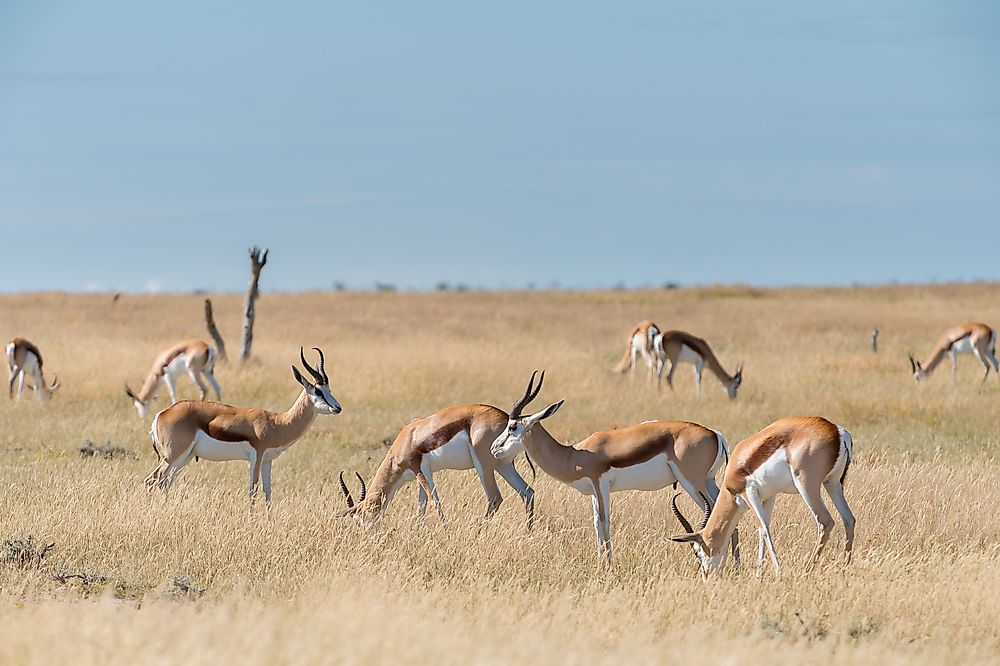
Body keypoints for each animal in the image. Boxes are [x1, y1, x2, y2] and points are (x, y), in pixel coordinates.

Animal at [144, 347, 341, 508]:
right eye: (318, 391)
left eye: (329, 389)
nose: (337, 408)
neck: (276, 423)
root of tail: (162, 413)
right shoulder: (256, 456)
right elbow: (253, 490)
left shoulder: (267, 460)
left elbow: (268, 492)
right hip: (173, 456)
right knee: (152, 480)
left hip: (185, 457)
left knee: (165, 482)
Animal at [337, 401, 537, 527]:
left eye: (360, 520)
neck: (407, 439)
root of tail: (506, 418)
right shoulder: (425, 474)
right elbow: (422, 506)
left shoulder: (418, 469)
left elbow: (435, 503)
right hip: (503, 465)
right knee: (527, 492)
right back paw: (527, 533)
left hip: (484, 465)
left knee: (495, 497)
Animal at [487, 371, 738, 569]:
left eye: (512, 426)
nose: (493, 448)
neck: (574, 455)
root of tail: (715, 435)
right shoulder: (593, 492)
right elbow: (596, 523)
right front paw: (601, 566)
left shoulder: (601, 485)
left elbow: (605, 521)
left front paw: (609, 567)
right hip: (708, 482)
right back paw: (734, 566)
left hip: (691, 483)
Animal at [669, 416, 855, 578]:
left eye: (698, 552)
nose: (706, 577)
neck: (737, 465)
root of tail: (838, 431)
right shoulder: (769, 497)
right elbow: (762, 530)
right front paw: (759, 575)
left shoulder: (749, 492)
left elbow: (764, 528)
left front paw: (778, 573)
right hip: (833, 484)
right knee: (849, 519)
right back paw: (845, 568)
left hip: (807, 486)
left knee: (825, 522)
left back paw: (807, 570)